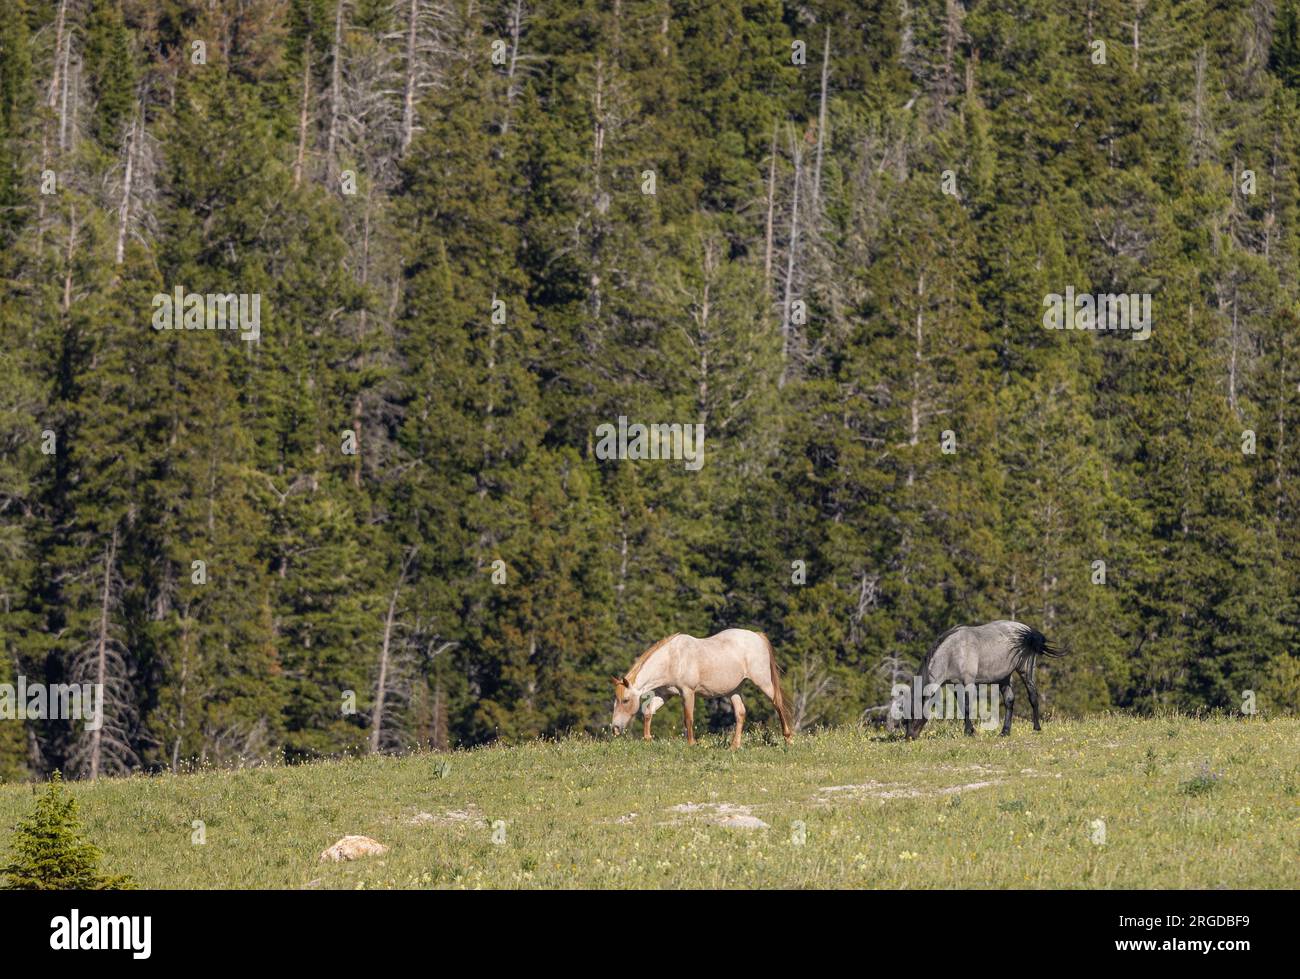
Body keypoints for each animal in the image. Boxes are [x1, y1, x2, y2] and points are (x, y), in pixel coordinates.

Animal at [610, 629, 794, 748]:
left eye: (625, 700)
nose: (615, 728)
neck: (672, 658)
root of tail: (757, 636)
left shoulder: (688, 692)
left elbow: (688, 718)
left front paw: (692, 744)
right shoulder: (665, 694)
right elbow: (648, 712)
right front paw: (647, 739)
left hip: (763, 682)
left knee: (777, 703)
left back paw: (788, 738)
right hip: (734, 690)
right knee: (740, 713)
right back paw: (734, 746)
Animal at [902, 620, 1063, 739]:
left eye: (913, 713)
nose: (909, 737)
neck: (953, 653)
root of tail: (1028, 630)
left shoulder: (968, 683)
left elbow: (967, 707)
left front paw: (969, 732)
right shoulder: (956, 685)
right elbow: (962, 707)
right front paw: (970, 730)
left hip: (1025, 670)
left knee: (1032, 695)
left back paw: (1036, 728)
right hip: (1003, 677)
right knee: (1009, 700)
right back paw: (1004, 732)